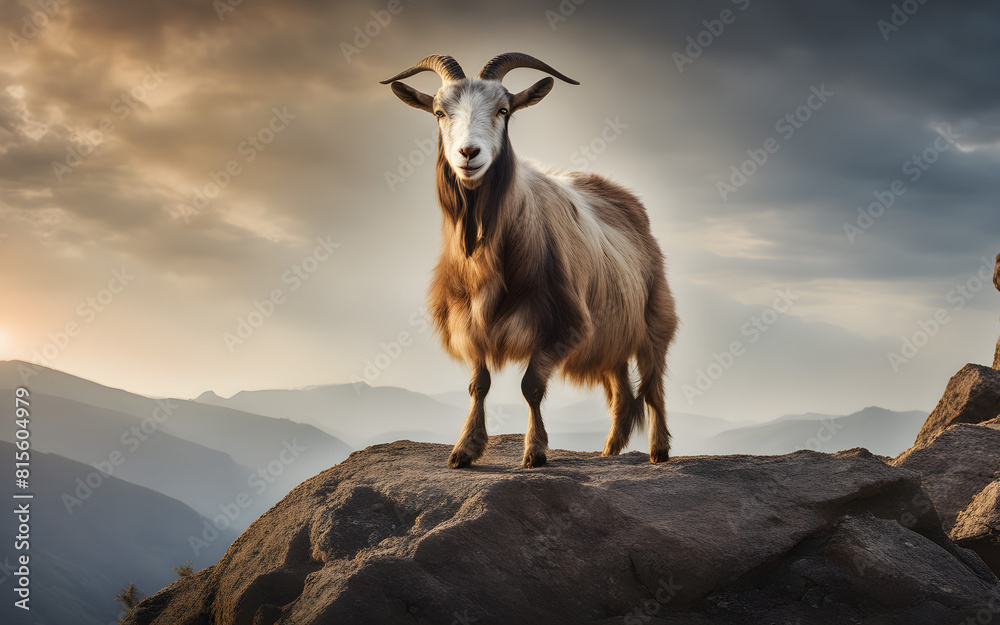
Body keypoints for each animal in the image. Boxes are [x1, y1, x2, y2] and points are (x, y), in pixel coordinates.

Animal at [381, 53, 678, 468]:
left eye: (503, 110)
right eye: (439, 112)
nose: (468, 154)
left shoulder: (564, 323)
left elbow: (531, 385)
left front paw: (535, 451)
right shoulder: (470, 324)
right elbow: (478, 385)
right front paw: (465, 449)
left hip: (654, 317)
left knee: (653, 384)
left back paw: (659, 450)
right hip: (609, 330)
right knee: (620, 387)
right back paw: (609, 449)